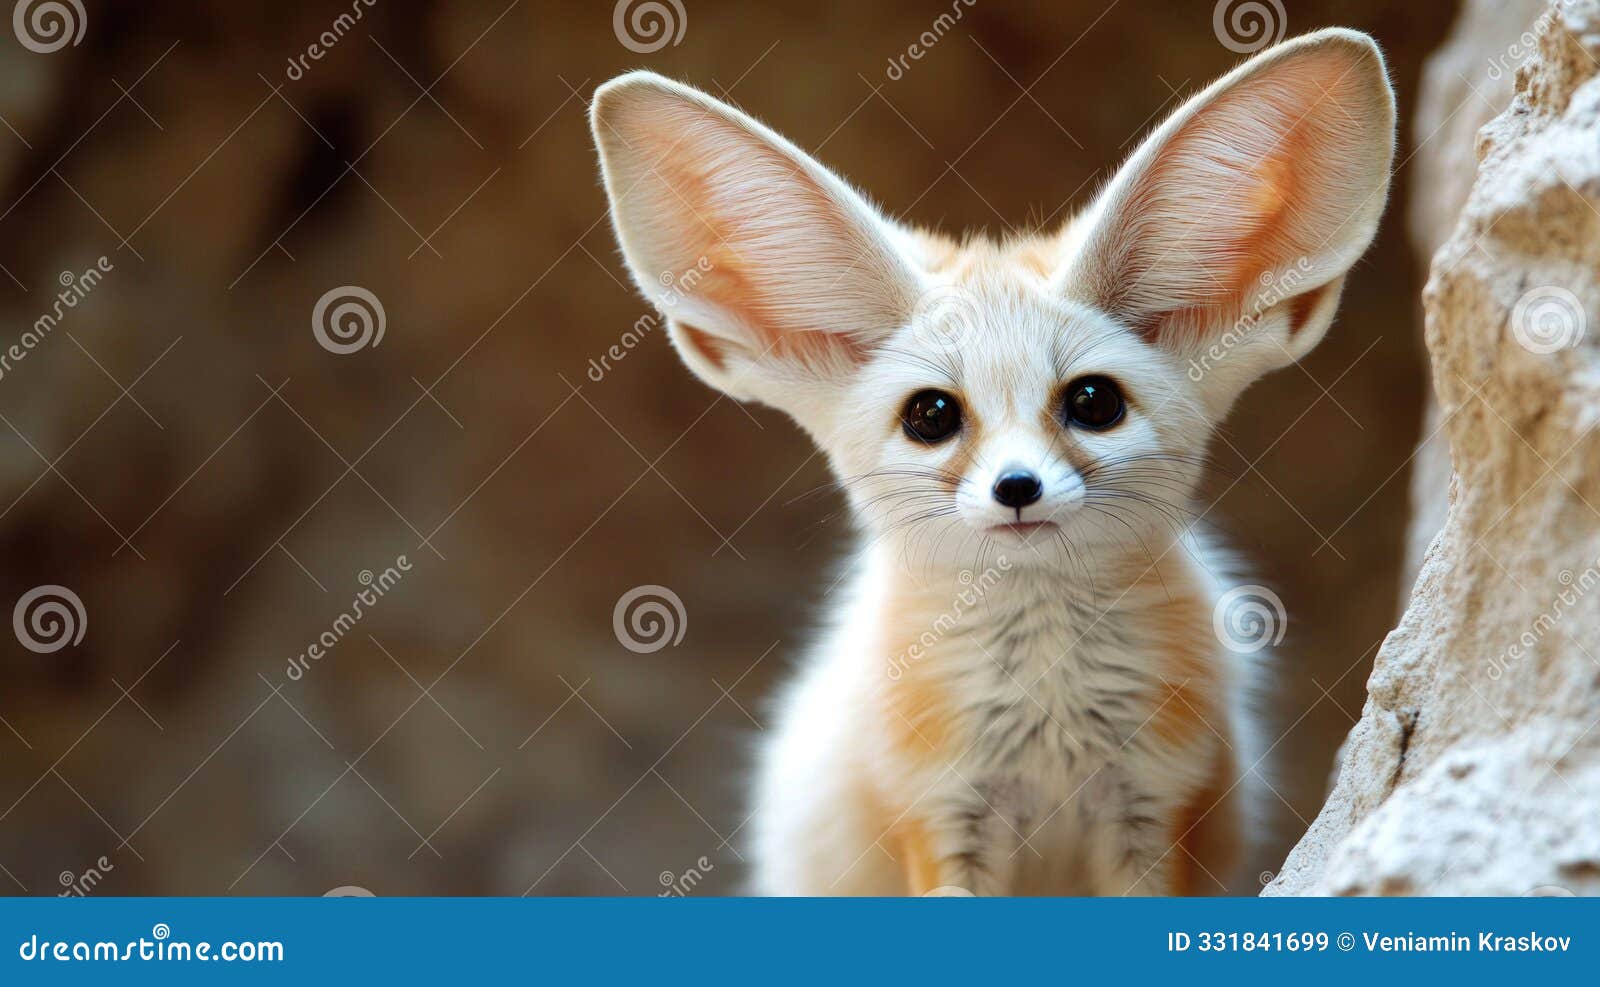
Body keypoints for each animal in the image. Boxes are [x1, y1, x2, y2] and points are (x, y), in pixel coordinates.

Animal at [590, 28, 1394, 895]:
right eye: (932, 415)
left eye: (1094, 402)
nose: (1017, 486)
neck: (1047, 702)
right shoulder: (939, 810)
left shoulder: (1155, 803)